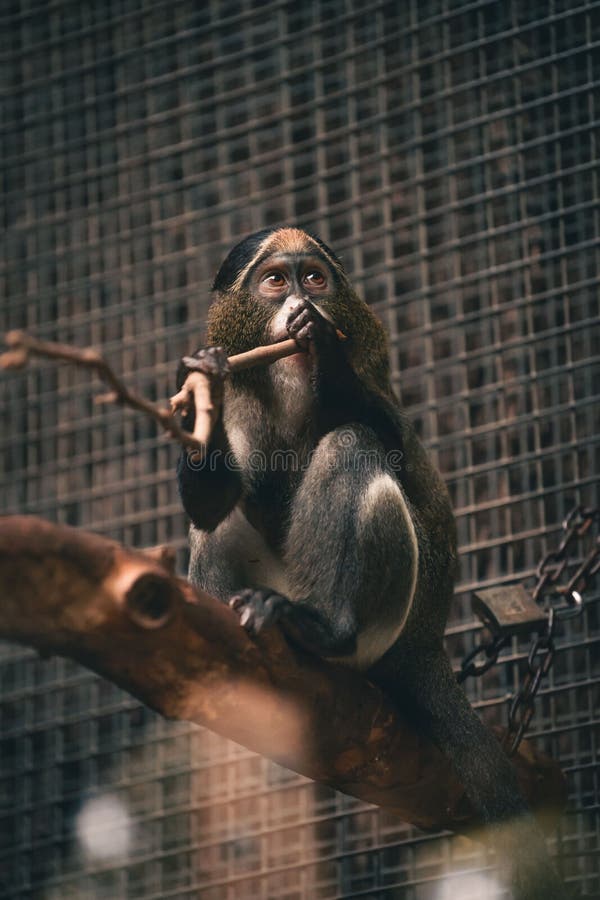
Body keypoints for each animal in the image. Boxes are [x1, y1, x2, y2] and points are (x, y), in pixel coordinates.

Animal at [176, 226, 569, 900]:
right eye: (275, 281)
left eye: (314, 279)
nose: (301, 307)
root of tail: (426, 643)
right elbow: (213, 500)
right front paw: (201, 387)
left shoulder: (373, 374)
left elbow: (382, 435)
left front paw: (323, 347)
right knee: (222, 518)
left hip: (384, 624)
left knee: (352, 444)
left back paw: (319, 629)